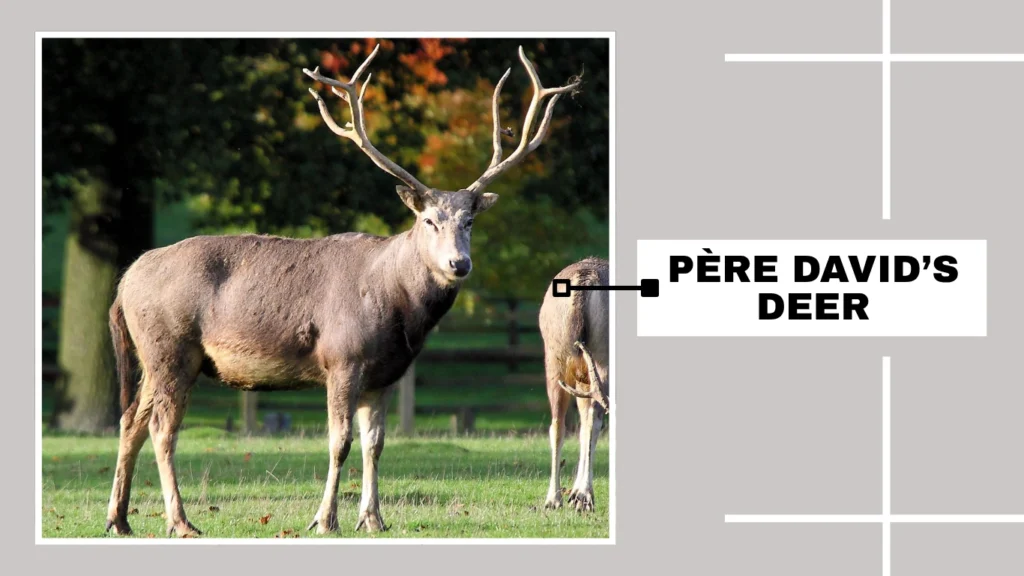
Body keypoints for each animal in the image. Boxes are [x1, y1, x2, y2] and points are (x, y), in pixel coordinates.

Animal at [102, 44, 581, 537]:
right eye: (429, 220)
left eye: (469, 221)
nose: (459, 264)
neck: (398, 311)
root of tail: (124, 282)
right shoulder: (342, 358)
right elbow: (340, 441)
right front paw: (324, 518)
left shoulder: (387, 374)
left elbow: (375, 443)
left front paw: (373, 518)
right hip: (171, 348)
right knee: (162, 428)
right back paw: (181, 521)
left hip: (154, 357)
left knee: (130, 419)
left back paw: (119, 519)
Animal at [538, 257, 609, 512]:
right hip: (602, 355)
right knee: (593, 419)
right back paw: (582, 496)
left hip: (556, 358)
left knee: (559, 424)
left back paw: (555, 498)